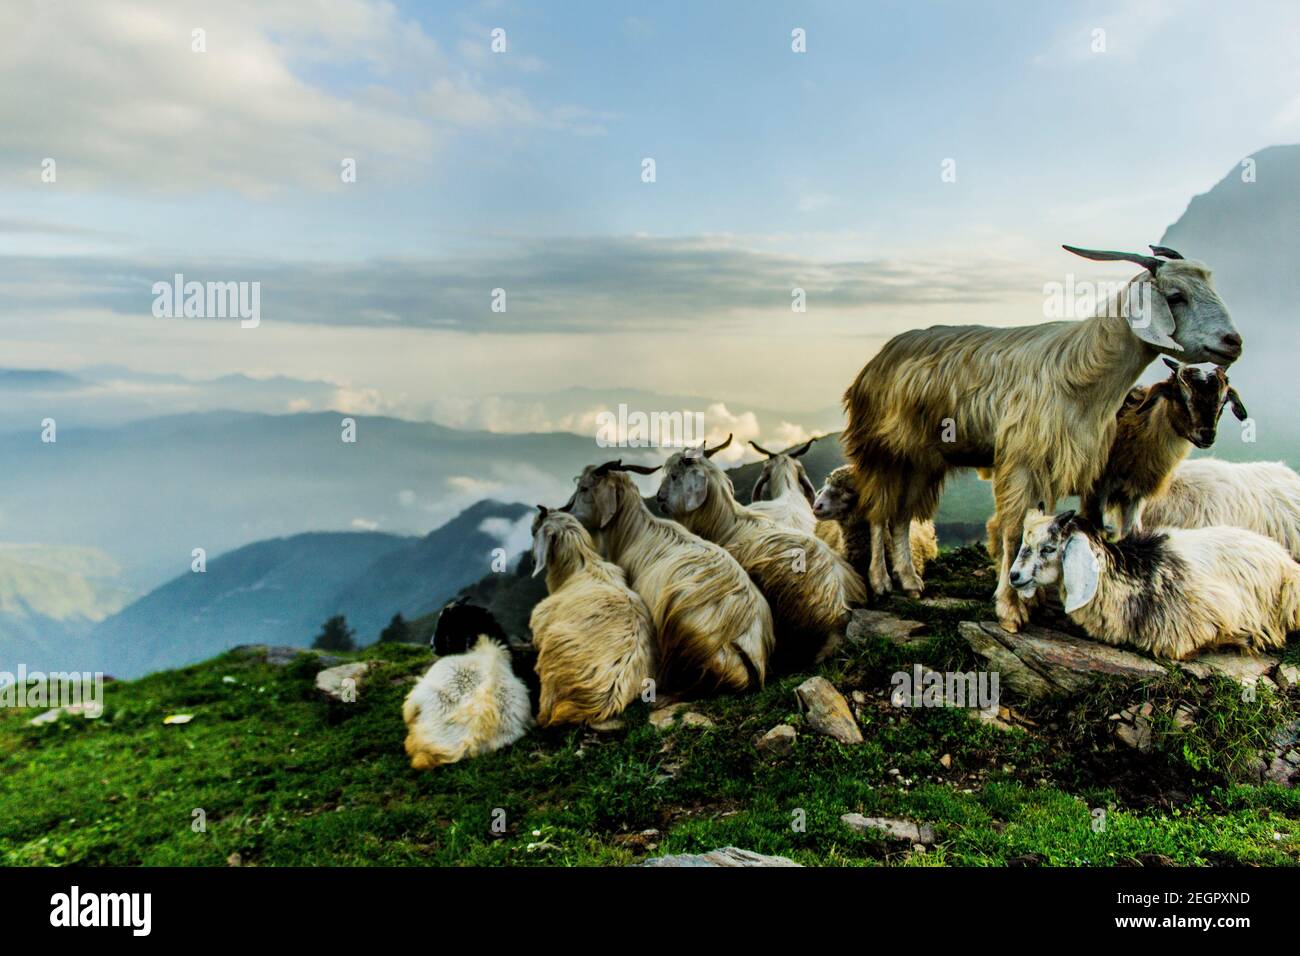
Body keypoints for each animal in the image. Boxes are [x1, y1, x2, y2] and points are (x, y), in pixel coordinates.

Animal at [1080, 358, 1247, 537]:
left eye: (1223, 402)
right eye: (1180, 397)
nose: (1207, 435)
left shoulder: (1135, 494)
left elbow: (1131, 531)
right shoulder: (1098, 489)